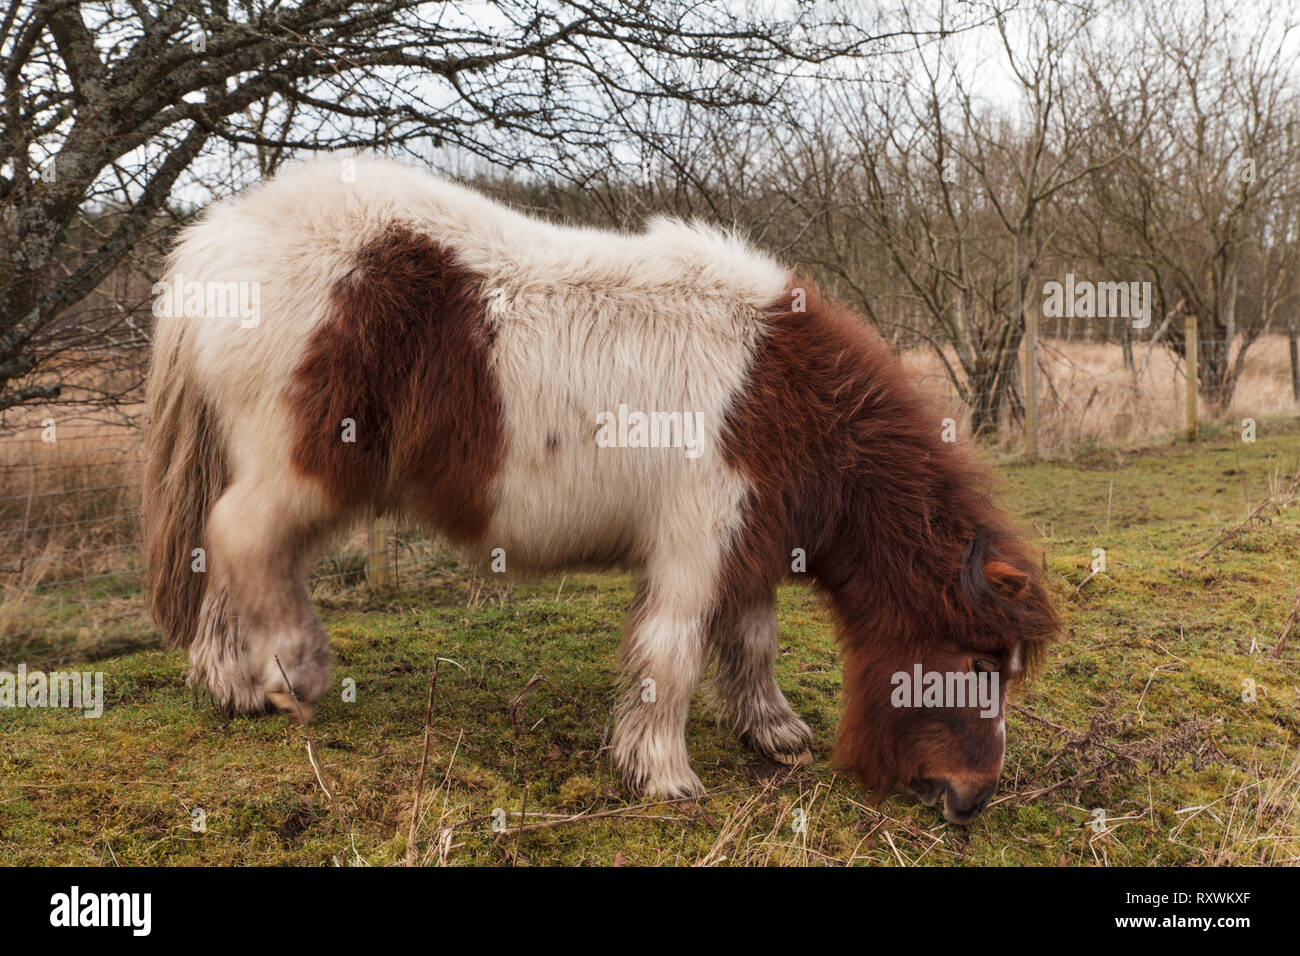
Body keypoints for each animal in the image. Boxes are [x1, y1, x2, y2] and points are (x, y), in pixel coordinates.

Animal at [143, 157, 1058, 824]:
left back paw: (235, 689)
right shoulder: (696, 540)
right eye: (978, 663)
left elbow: (752, 637)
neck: (785, 391)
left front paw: (774, 732)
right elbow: (674, 652)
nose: (972, 799)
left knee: (225, 562)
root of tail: (212, 242)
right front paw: (664, 775)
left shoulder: (748, 533)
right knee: (245, 541)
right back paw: (291, 673)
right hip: (299, 467)